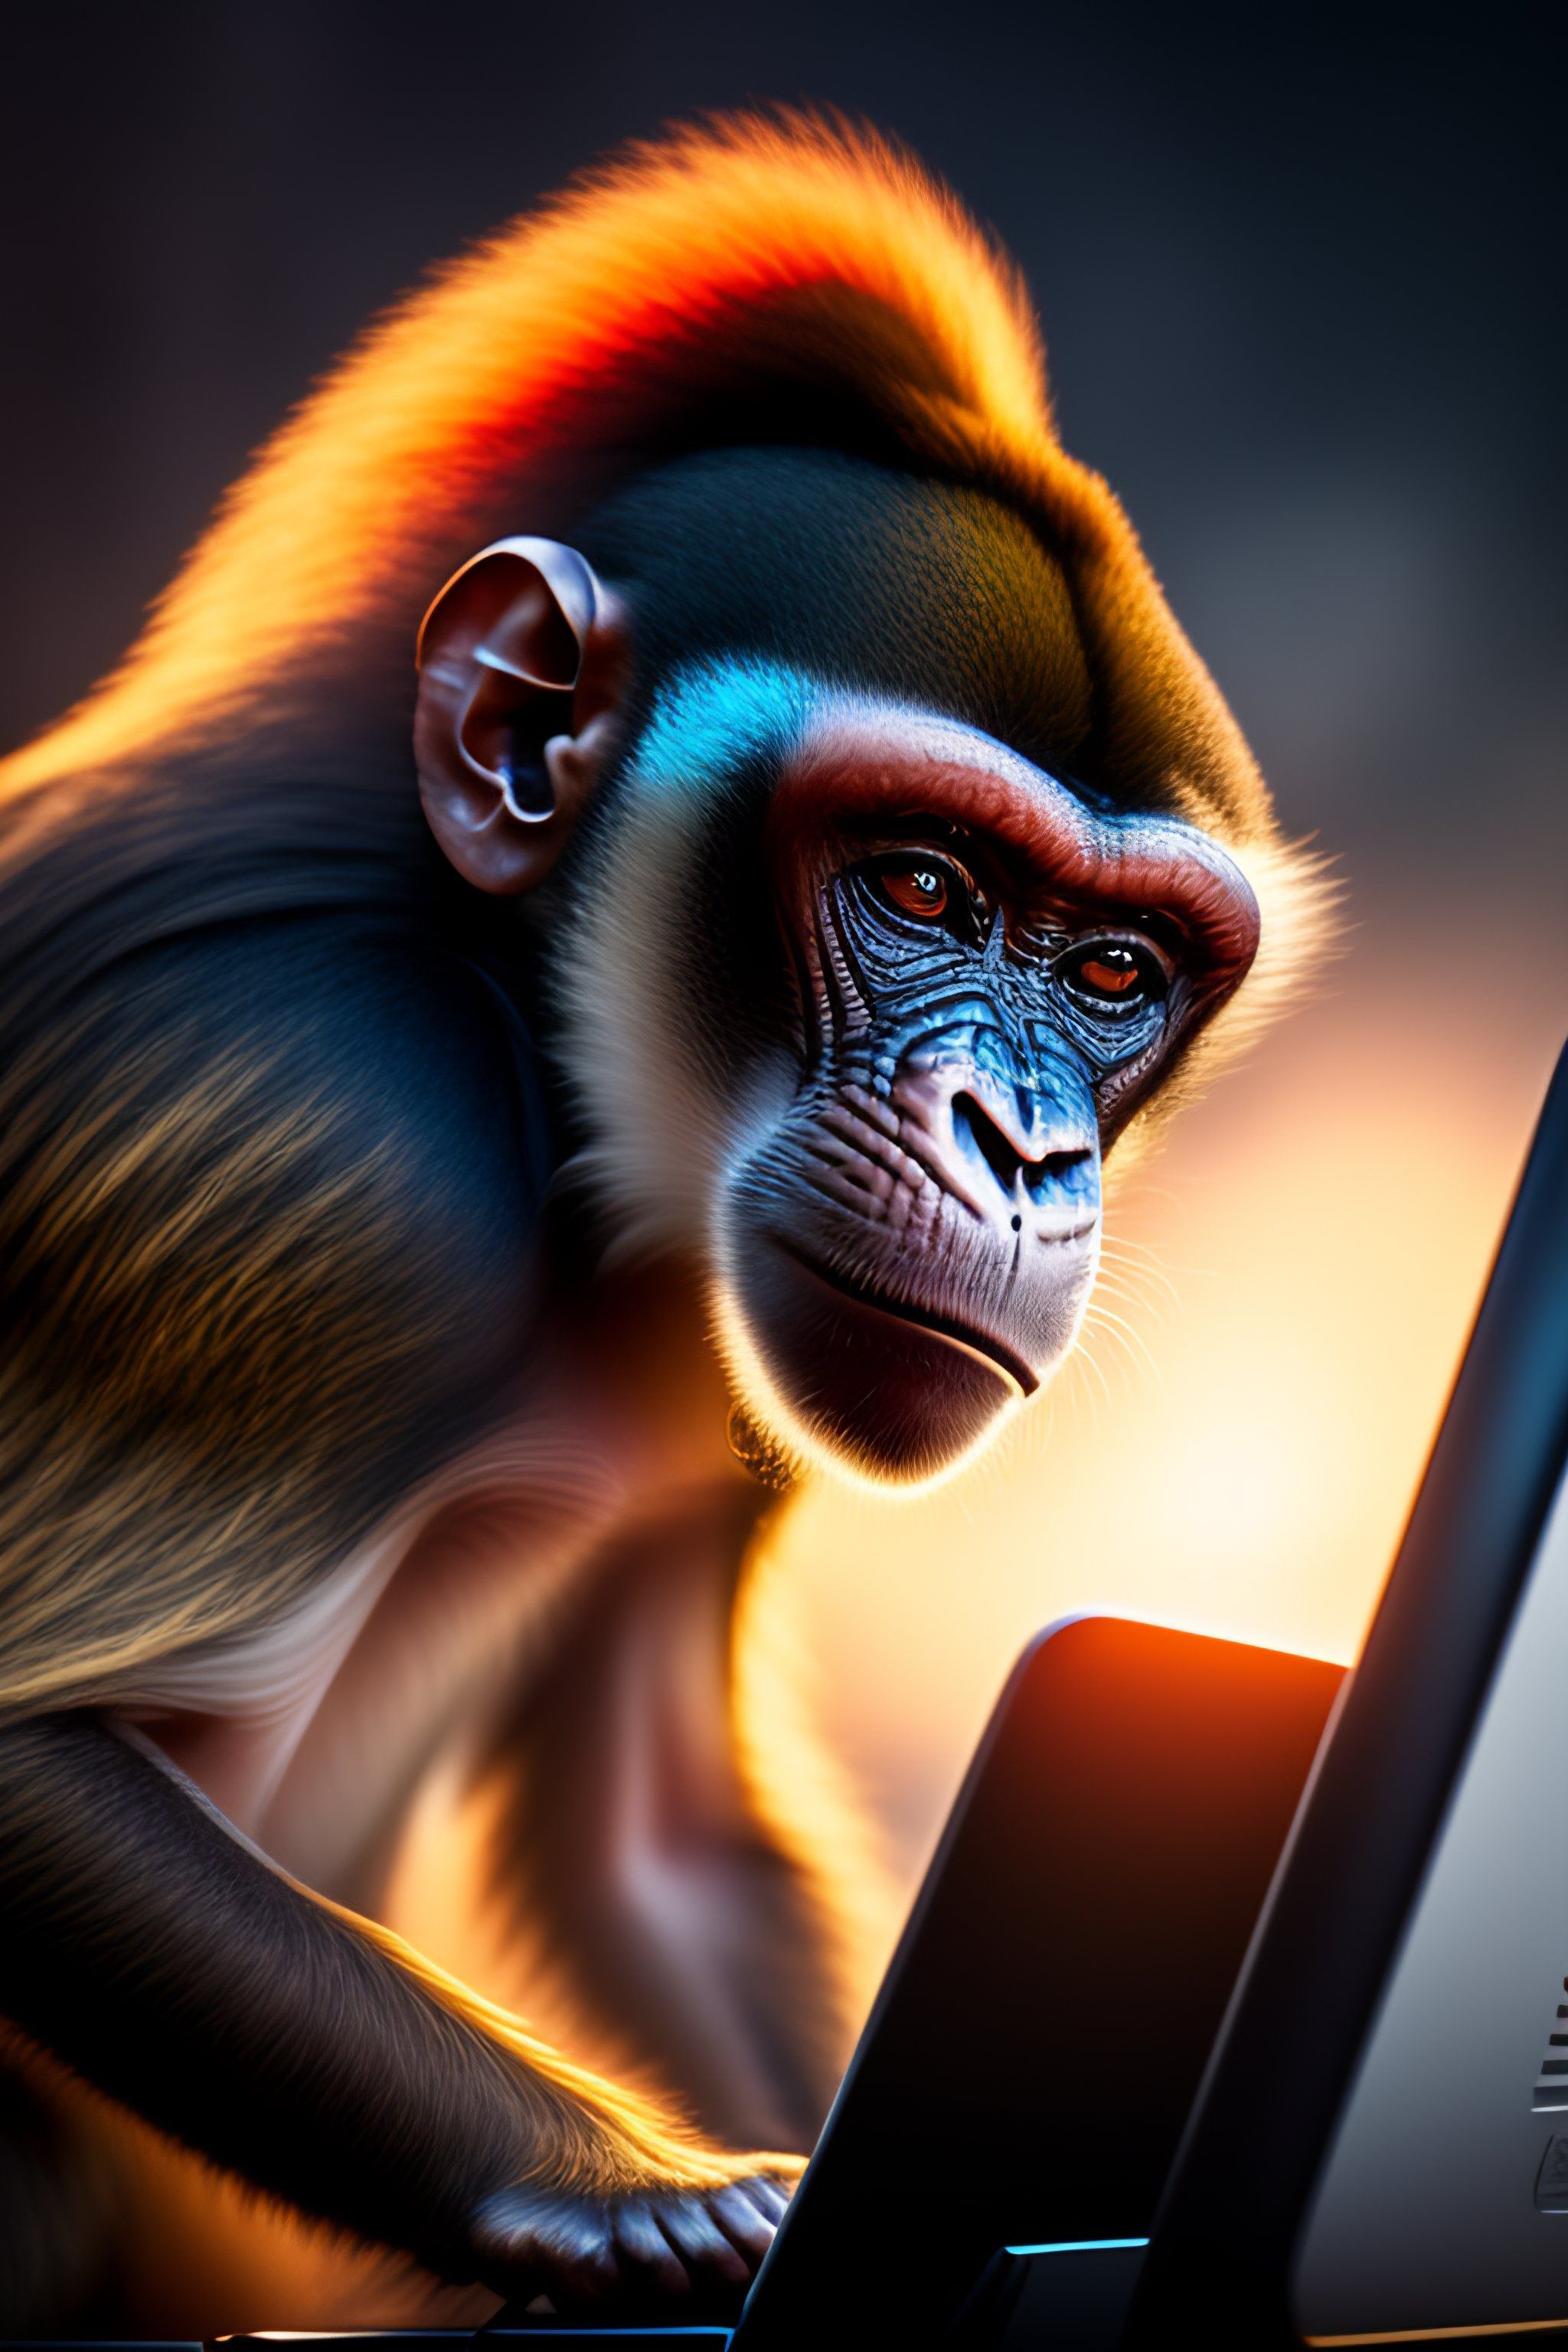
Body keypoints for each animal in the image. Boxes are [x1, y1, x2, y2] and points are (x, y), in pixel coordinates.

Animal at [0, 114, 1329, 2329]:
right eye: (923, 887)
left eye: (1115, 974)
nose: (1021, 1152)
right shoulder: (318, 1119)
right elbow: (36, 1757)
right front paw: (645, 2198)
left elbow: (663, 1836)